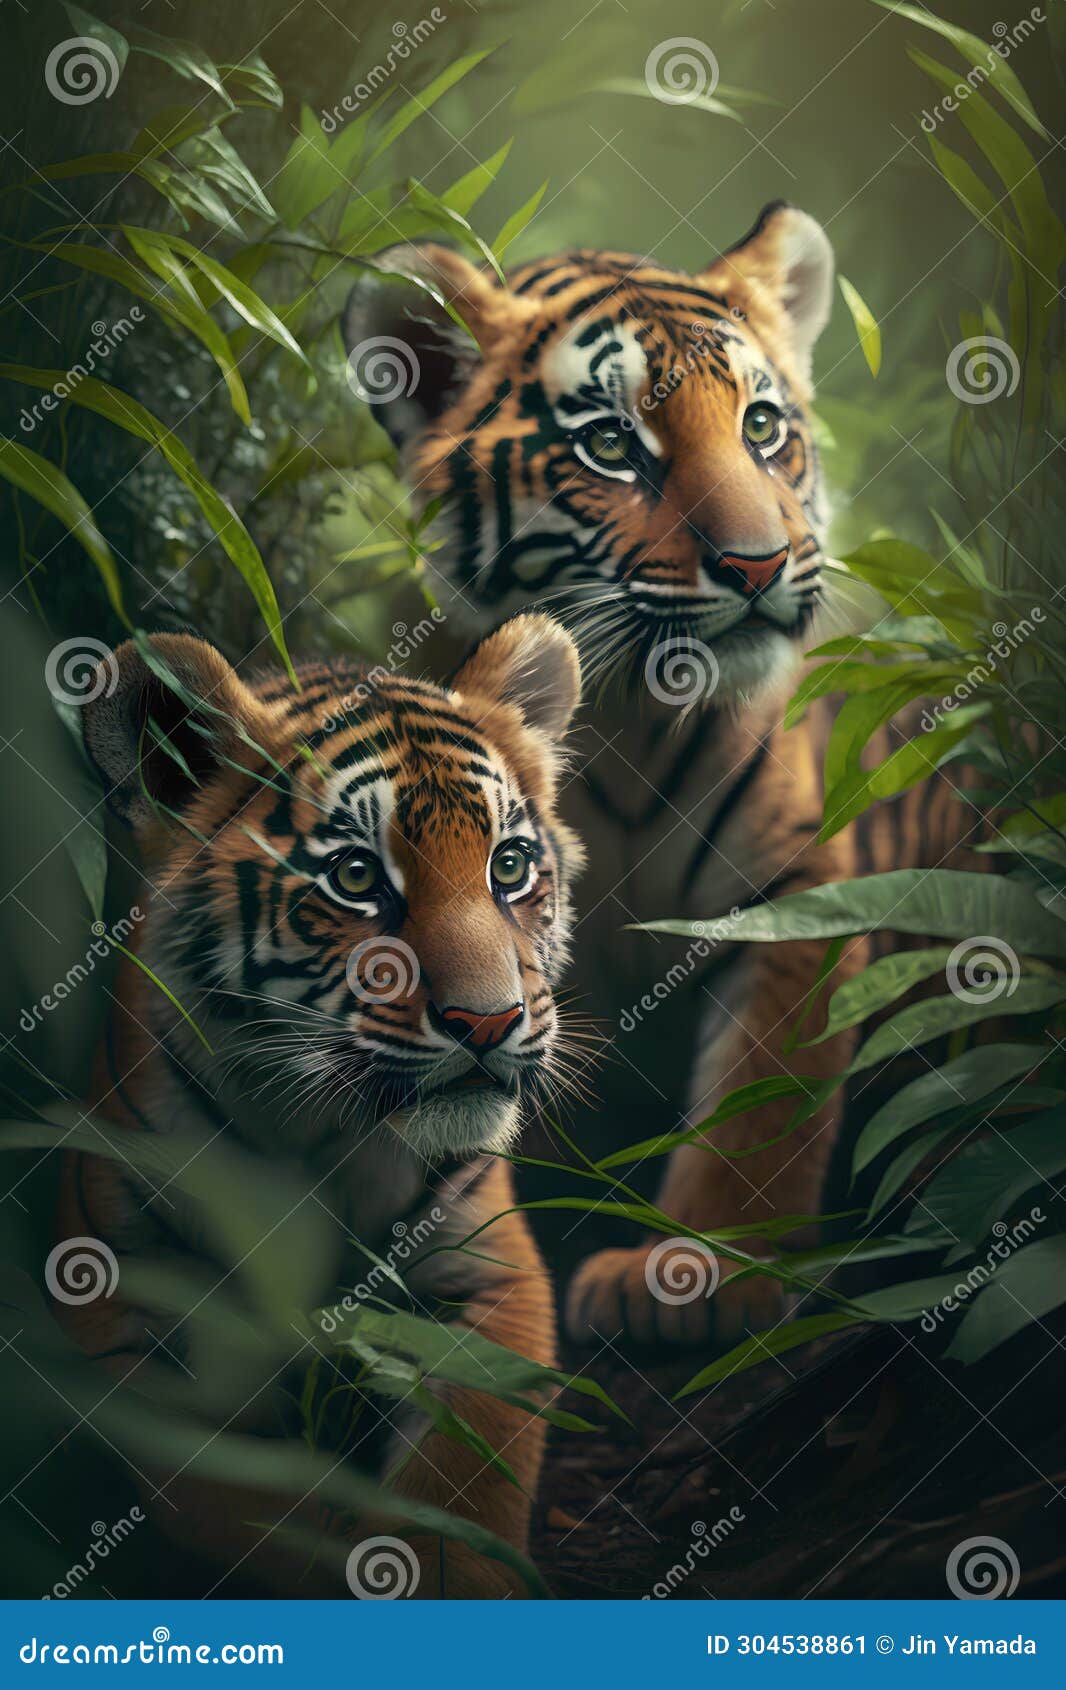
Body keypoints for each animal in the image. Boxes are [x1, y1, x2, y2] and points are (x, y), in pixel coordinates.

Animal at [57, 611, 584, 1598]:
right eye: (355, 877)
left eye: (509, 864)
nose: (491, 1022)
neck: (324, 1135)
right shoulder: (116, 1298)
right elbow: (242, 1518)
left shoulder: (495, 1277)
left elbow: (464, 1490)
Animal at [341, 201, 983, 1350]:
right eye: (609, 446)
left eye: (762, 427)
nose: (761, 565)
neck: (631, 717)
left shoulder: (792, 895)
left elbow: (763, 1095)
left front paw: (702, 1279)